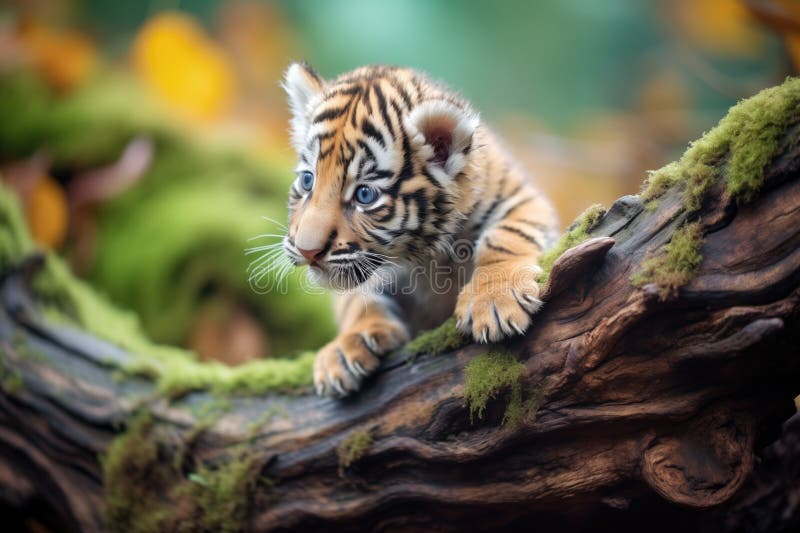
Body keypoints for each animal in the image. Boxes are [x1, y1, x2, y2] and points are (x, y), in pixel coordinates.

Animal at [279, 63, 558, 397]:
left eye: (364, 195)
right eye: (308, 180)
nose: (307, 250)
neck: (423, 255)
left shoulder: (524, 200)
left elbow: (505, 236)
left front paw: (493, 300)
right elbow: (355, 297)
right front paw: (344, 349)